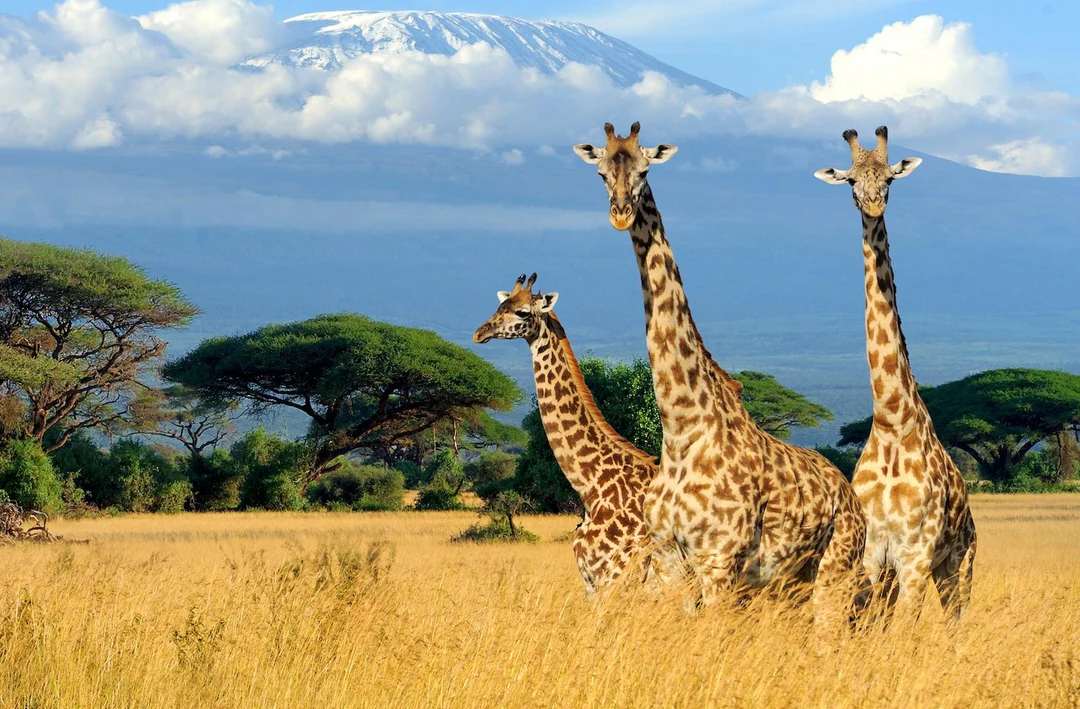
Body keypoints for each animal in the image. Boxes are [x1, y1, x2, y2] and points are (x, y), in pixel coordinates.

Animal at [473, 272, 660, 597]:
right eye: (499, 306)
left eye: (523, 312)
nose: (479, 333)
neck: (592, 487)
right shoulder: (592, 582)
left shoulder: (613, 578)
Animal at [573, 122, 866, 622]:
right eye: (600, 173)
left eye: (645, 170)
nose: (621, 214)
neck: (682, 429)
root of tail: (851, 497)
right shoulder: (669, 560)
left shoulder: (719, 562)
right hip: (791, 583)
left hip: (835, 568)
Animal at [813, 126, 977, 621]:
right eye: (850, 181)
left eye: (889, 178)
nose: (872, 205)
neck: (890, 421)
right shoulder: (872, 554)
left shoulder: (915, 555)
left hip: (959, 563)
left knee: (957, 621)